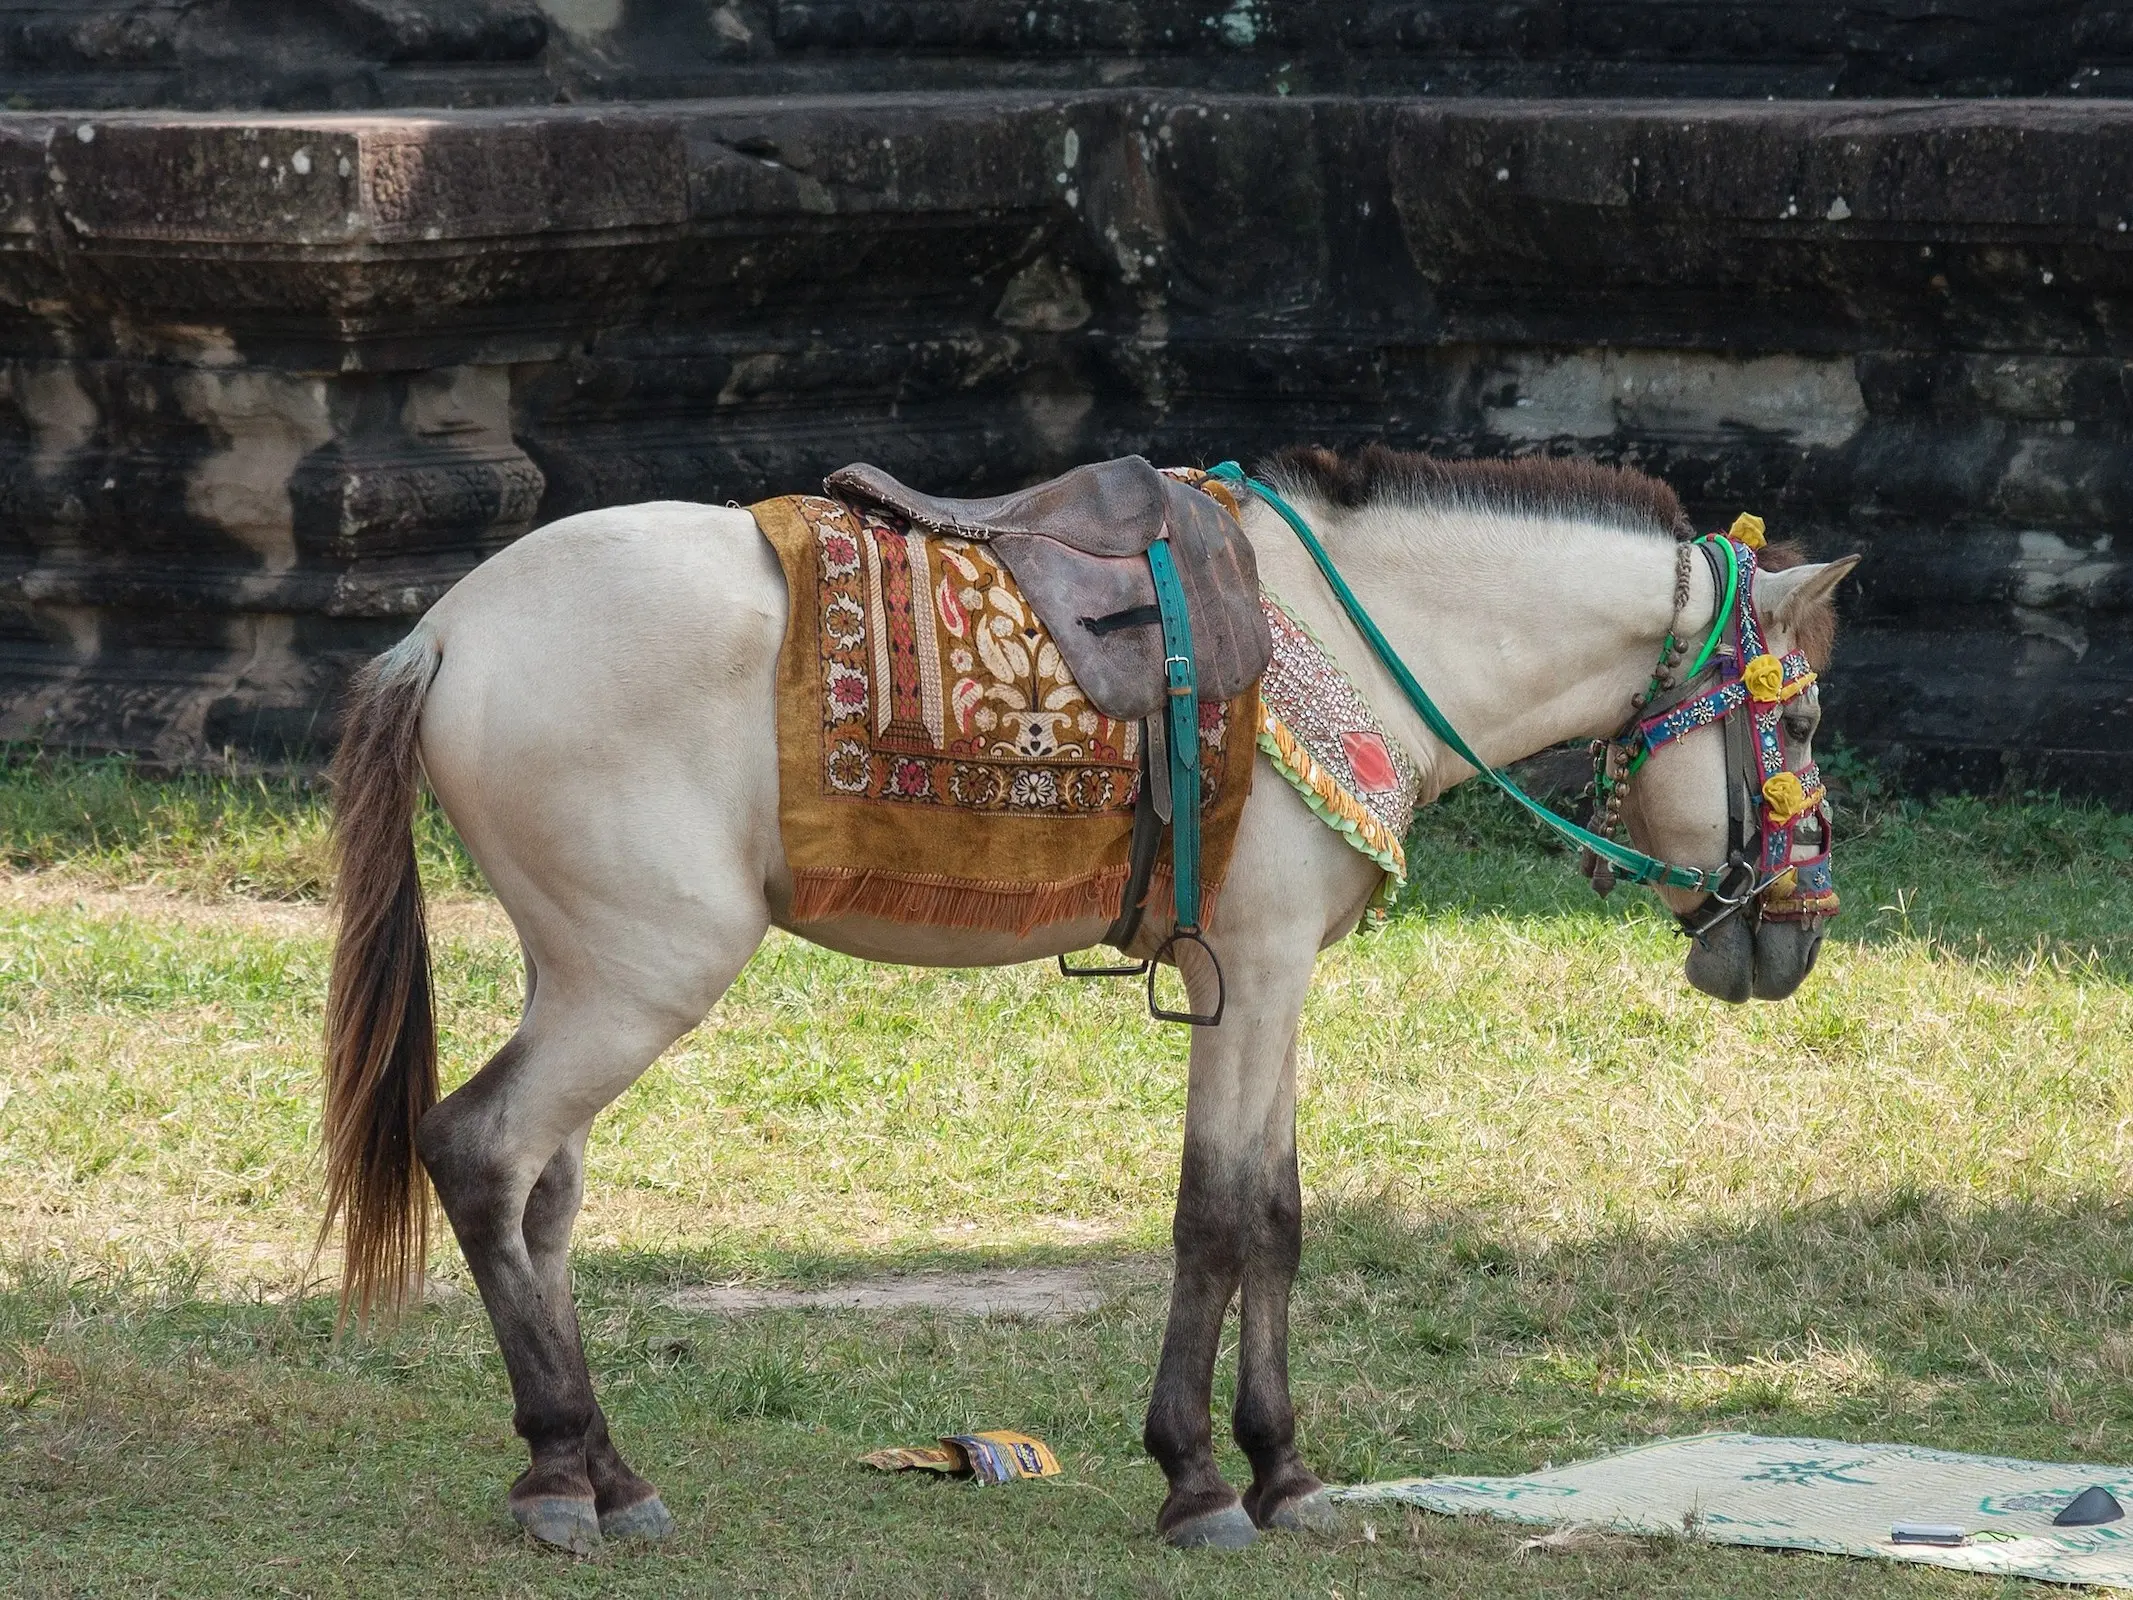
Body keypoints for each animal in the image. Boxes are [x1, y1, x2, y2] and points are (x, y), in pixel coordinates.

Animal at [319, 443, 1859, 1553]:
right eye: (1799, 721)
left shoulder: (1265, 980)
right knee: (480, 1151)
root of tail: (442, 632)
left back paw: (597, 1472)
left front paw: (1282, 1472)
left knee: (543, 1200)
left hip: (581, 969)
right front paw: (1202, 1484)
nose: (1792, 938)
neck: (1366, 636)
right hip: (646, 974)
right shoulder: (1258, 970)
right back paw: (565, 1471)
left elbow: (1275, 1217)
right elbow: (1219, 1217)